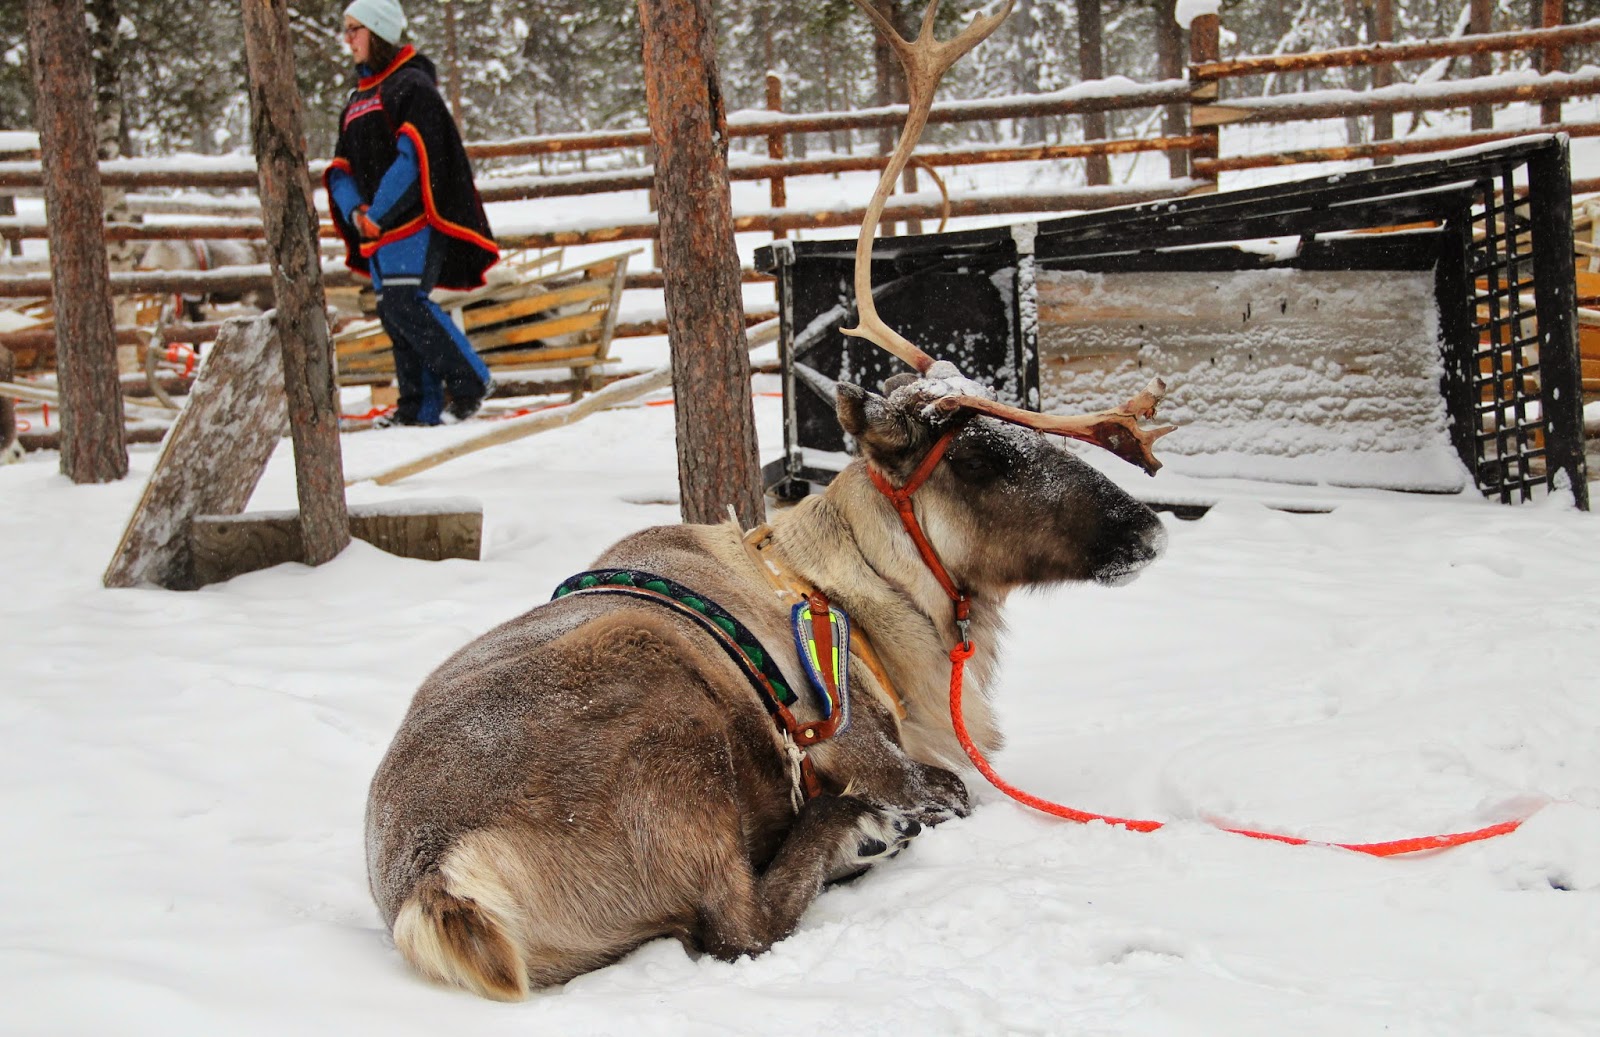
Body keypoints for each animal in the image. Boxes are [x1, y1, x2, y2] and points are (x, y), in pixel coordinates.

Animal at [364, 0, 1174, 1001]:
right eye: (982, 455)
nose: (1146, 524)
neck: (866, 599)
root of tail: (436, 881)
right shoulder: (866, 742)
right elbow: (948, 786)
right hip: (668, 723)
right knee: (736, 920)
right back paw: (858, 834)